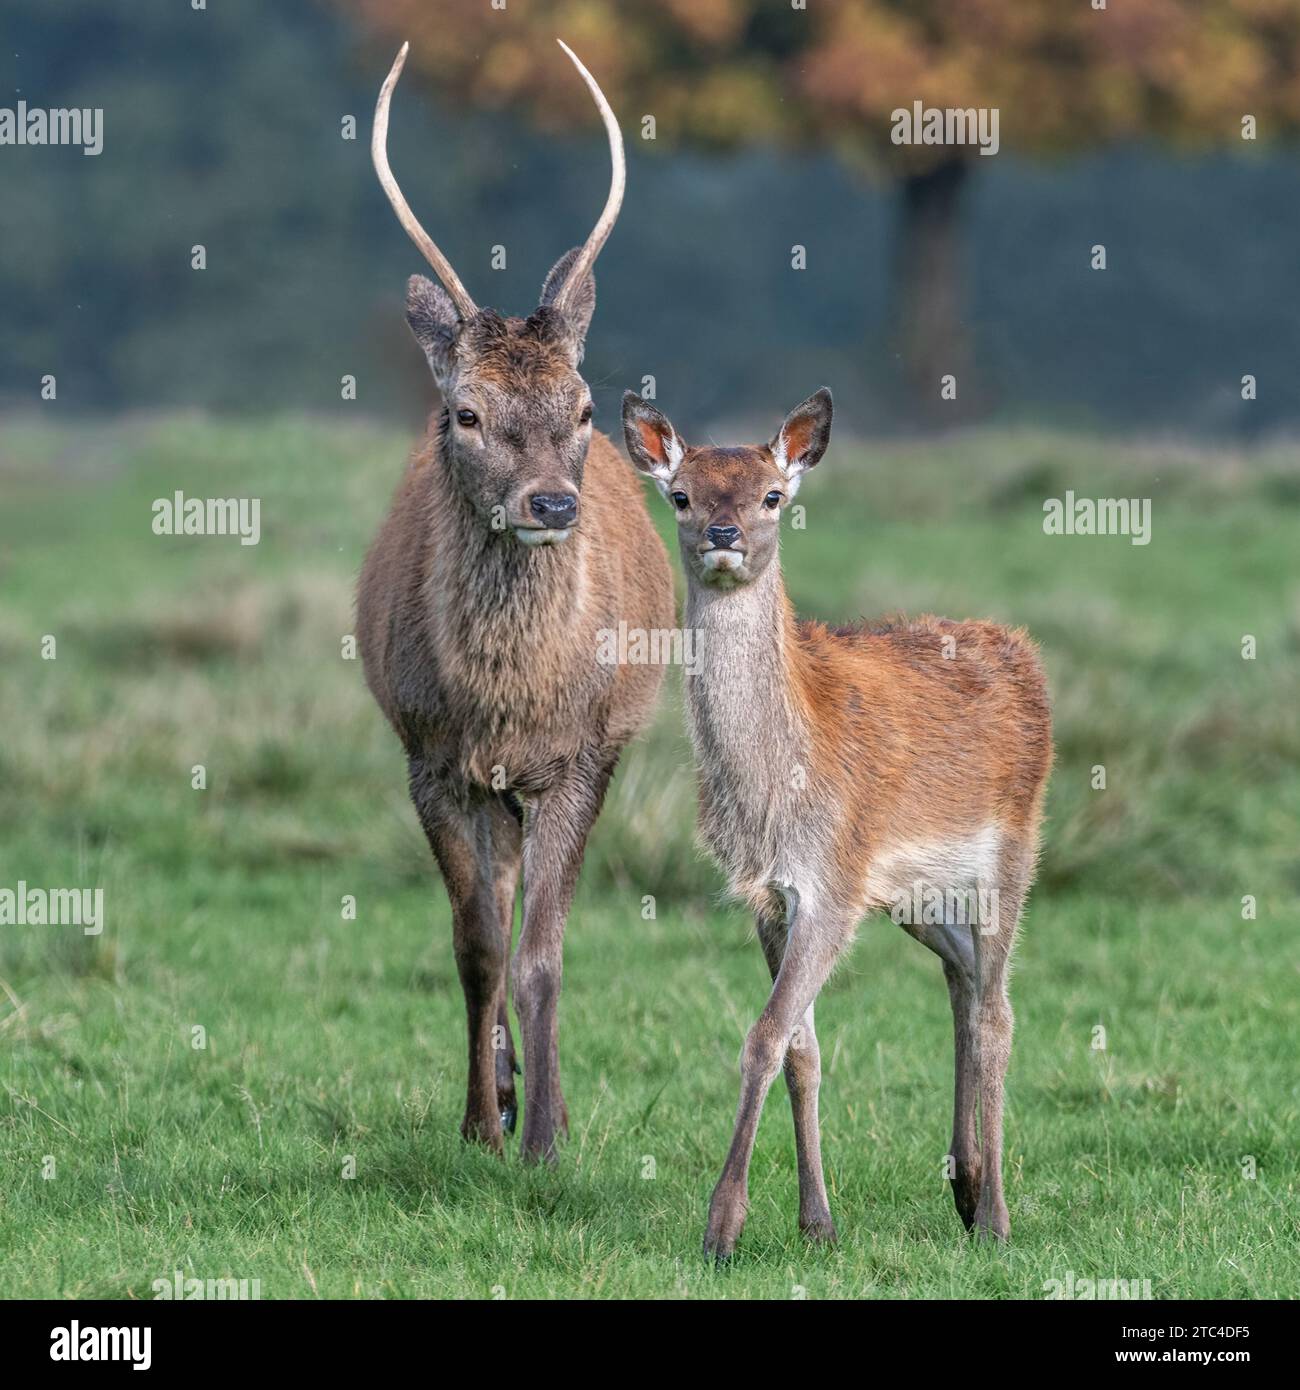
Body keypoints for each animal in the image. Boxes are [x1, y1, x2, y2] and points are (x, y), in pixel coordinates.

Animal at [357, 43, 673, 1163]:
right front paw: (480, 1125)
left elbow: (544, 950)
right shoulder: (428, 755)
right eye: (467, 411)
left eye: (581, 407)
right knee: (493, 902)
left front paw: (541, 1140)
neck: (507, 698)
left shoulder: (584, 752)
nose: (551, 503)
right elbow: (477, 946)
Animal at [622, 387, 1053, 1258]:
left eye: (771, 495)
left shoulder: (832, 884)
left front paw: (722, 1226)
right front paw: (817, 1221)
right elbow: (801, 1048)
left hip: (1014, 848)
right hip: (913, 892)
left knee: (998, 1008)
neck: (778, 792)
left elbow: (762, 1036)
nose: (723, 534)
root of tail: (1024, 654)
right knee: (963, 976)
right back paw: (965, 1183)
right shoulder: (770, 893)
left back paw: (995, 1216)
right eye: (679, 494)